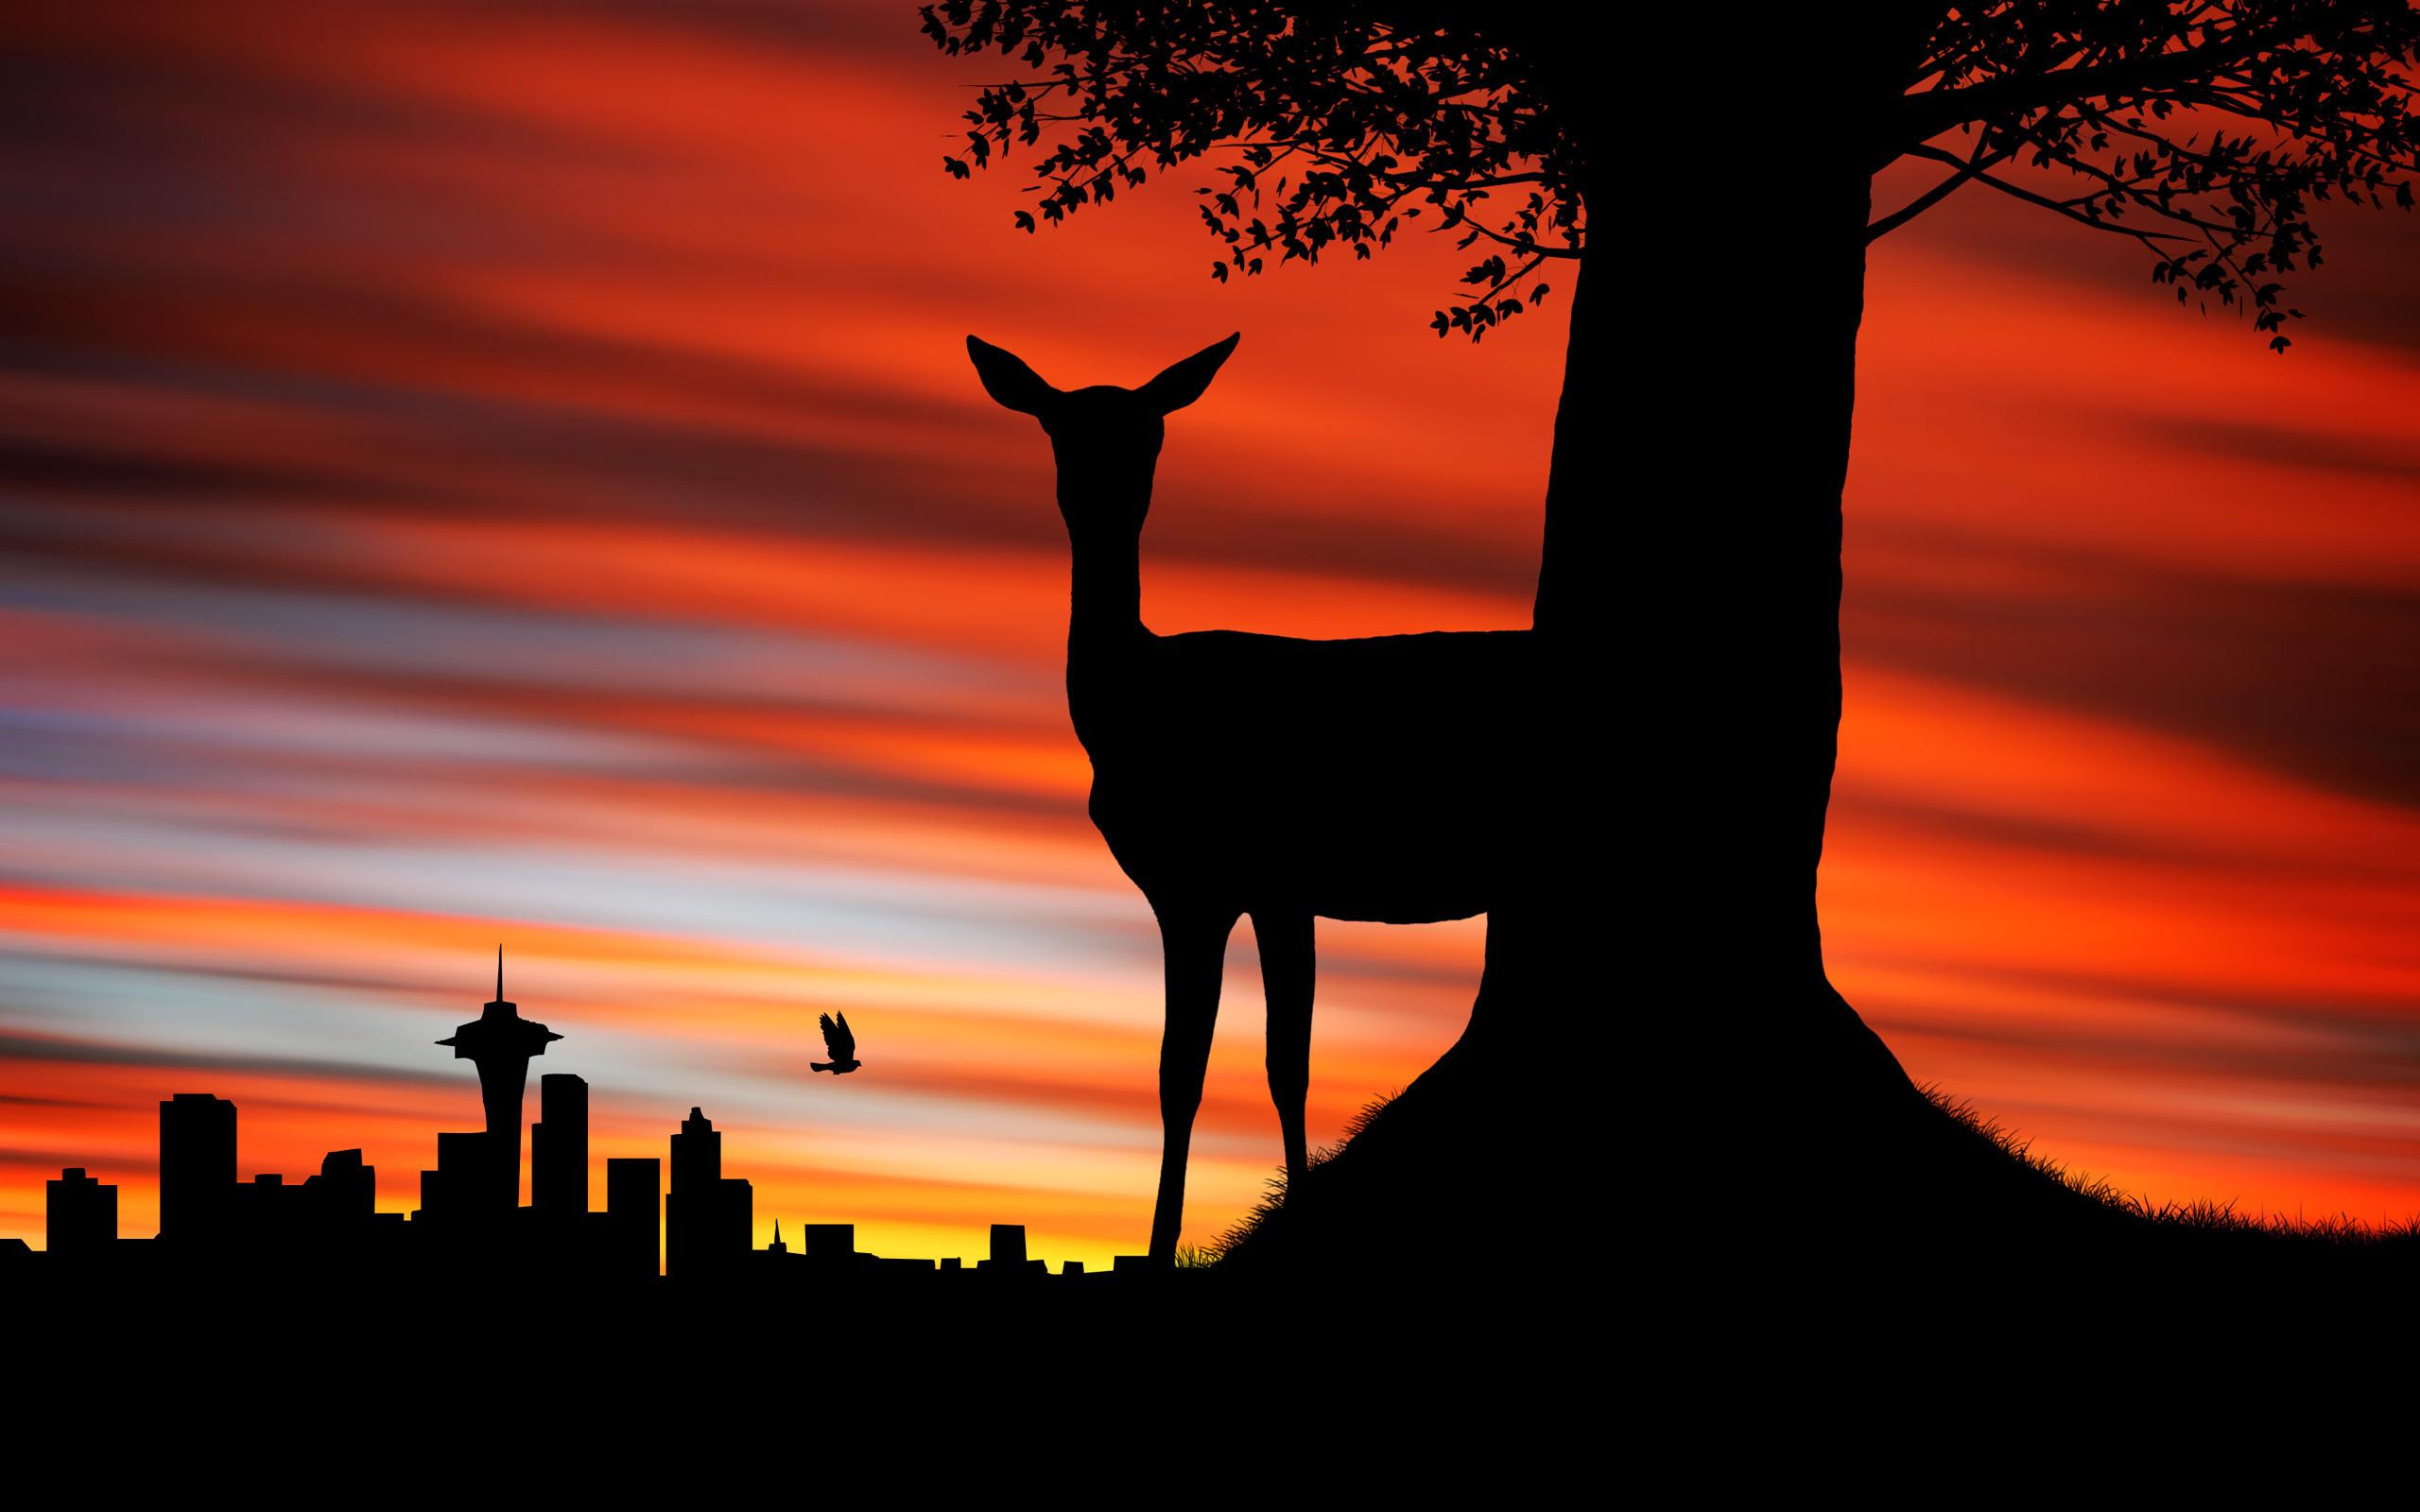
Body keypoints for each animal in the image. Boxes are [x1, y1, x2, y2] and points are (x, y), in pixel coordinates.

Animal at [968, 332, 1544, 1265]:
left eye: (1152, 431)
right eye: (1061, 427)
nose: (1105, 494)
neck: (1135, 711)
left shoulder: (1262, 877)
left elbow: (1269, 1063)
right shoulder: (1197, 891)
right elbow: (1193, 1069)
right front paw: (1170, 1240)